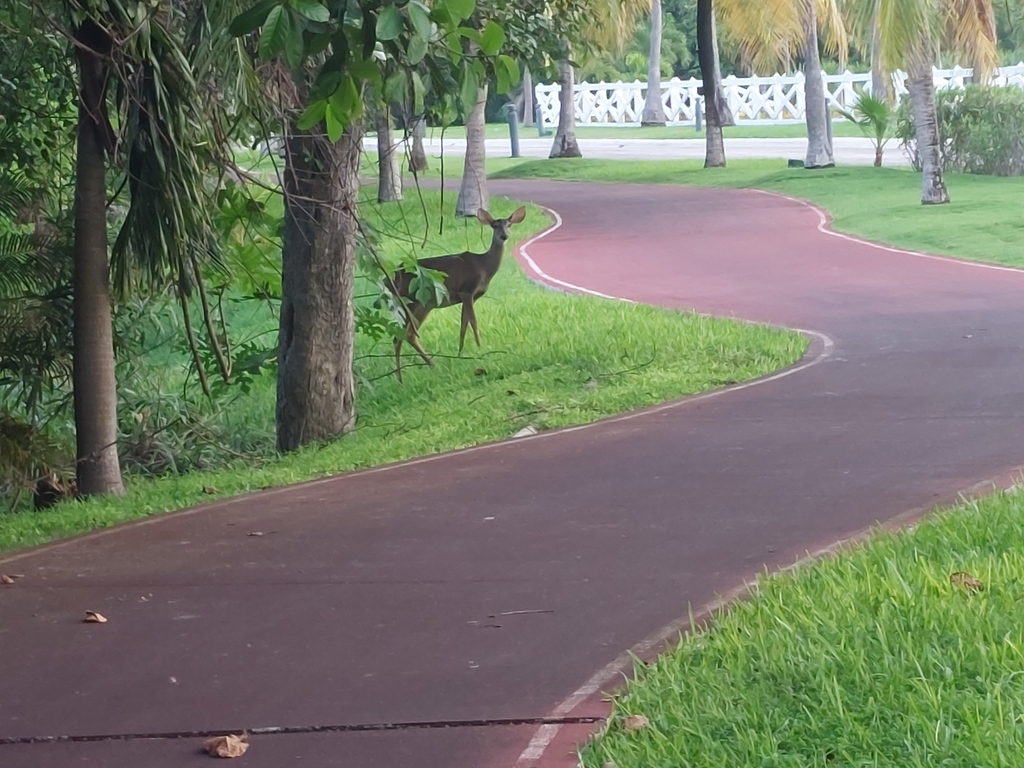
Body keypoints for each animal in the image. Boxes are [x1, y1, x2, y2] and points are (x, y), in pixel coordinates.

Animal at [390, 206, 527, 382]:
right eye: (495, 225)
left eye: (509, 224)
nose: (504, 236)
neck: (485, 268)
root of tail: (389, 279)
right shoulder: (467, 290)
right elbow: (473, 322)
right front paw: (480, 349)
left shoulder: (469, 297)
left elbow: (464, 324)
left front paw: (460, 352)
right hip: (409, 300)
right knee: (400, 335)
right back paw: (400, 377)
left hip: (423, 304)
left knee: (409, 334)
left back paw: (430, 366)